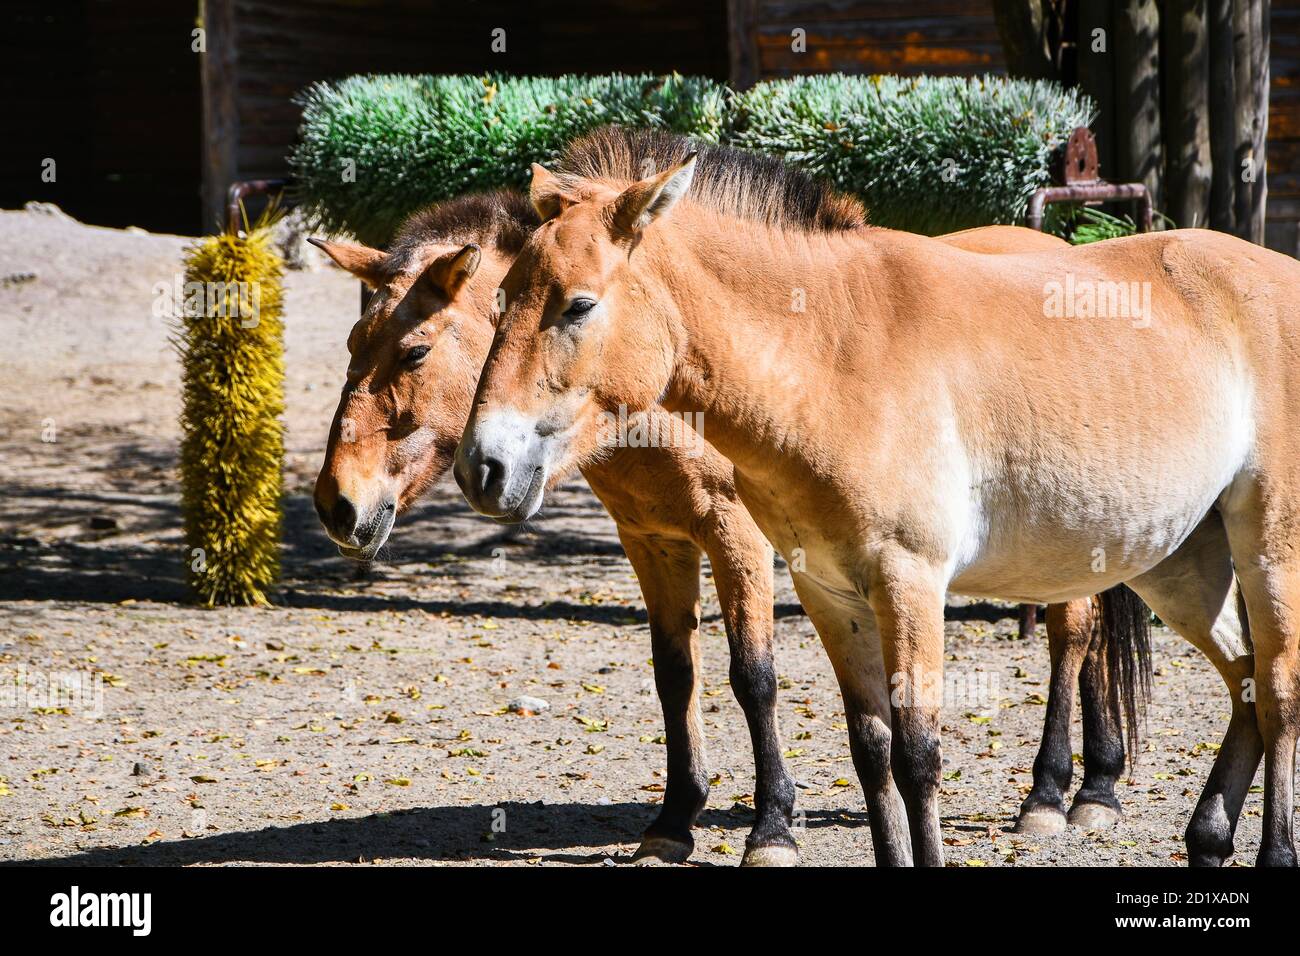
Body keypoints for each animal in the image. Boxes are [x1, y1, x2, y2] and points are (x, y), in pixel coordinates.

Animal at [456, 127, 1274, 866]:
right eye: (500, 301)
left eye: (578, 306)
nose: (482, 468)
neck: (835, 358)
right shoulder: (820, 588)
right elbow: (864, 745)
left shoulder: (903, 581)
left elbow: (909, 751)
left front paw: (770, 834)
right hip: (1177, 560)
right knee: (1248, 680)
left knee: (1248, 676)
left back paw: (1073, 800)